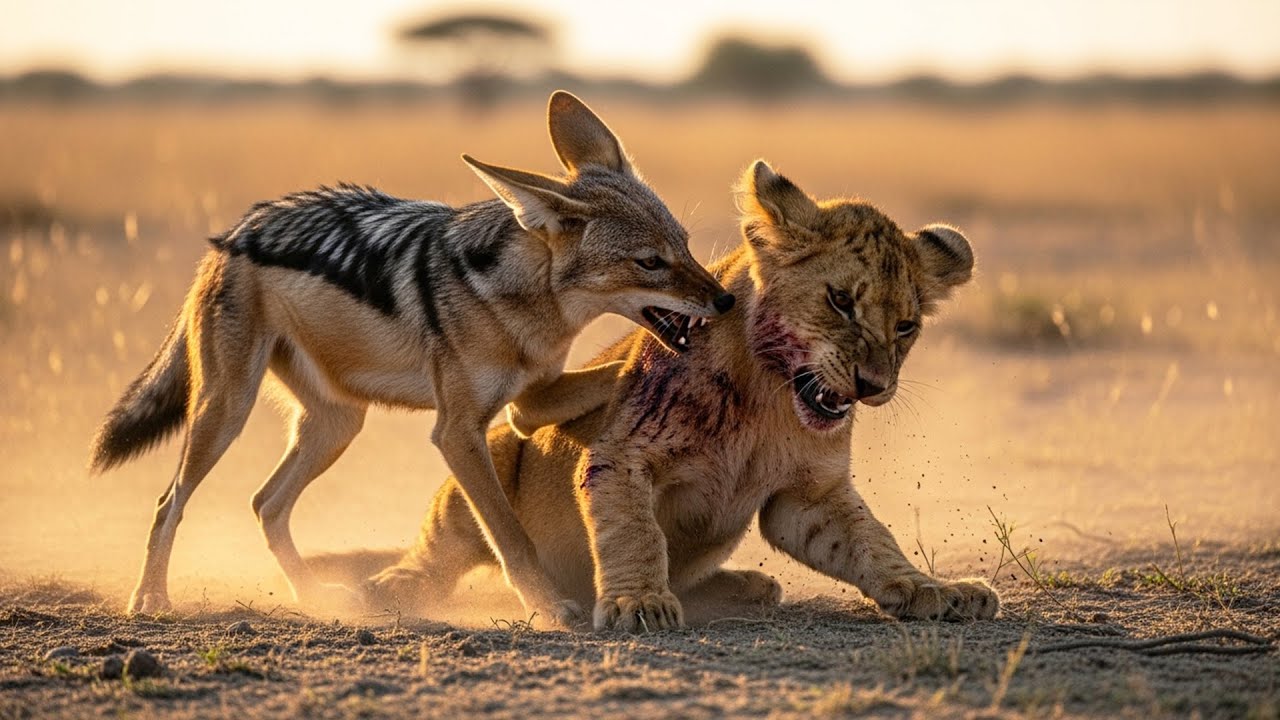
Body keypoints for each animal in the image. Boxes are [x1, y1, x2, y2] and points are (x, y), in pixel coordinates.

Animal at [362, 160, 998, 630]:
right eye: (840, 301)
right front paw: (638, 603)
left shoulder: (808, 496)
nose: (873, 386)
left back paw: (748, 584)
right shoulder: (620, 454)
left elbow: (871, 540)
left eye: (906, 326)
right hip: (489, 457)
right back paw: (391, 586)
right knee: (446, 544)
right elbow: (635, 533)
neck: (768, 394)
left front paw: (933, 588)